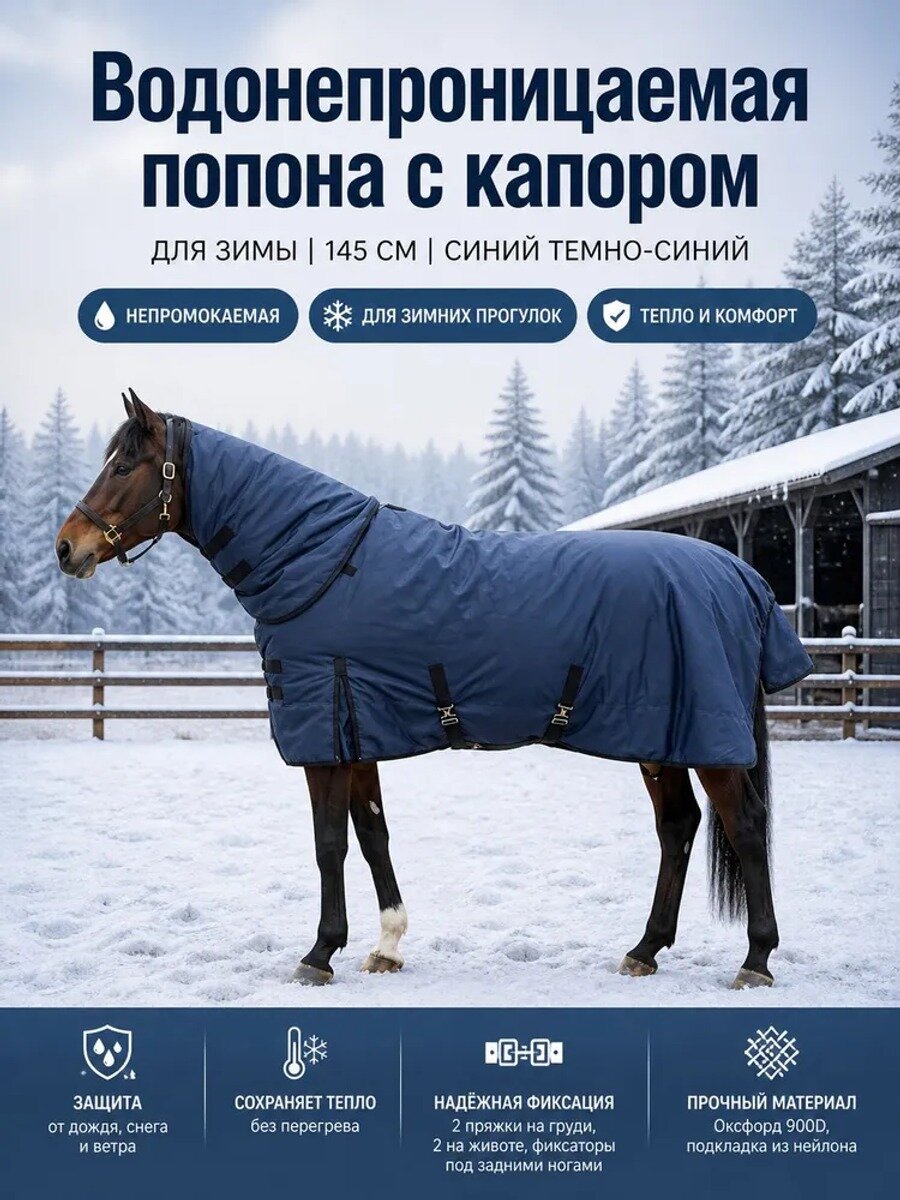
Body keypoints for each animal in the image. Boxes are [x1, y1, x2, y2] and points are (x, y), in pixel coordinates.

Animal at [56, 390, 812, 990]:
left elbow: (328, 843)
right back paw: (645, 950)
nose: (67, 548)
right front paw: (386, 946)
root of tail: (739, 576)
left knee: (745, 827)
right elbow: (372, 836)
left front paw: (319, 954)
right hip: (661, 736)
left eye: (123, 466)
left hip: (706, 742)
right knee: (678, 827)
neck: (323, 561)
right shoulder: (356, 730)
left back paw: (756, 960)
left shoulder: (326, 737)